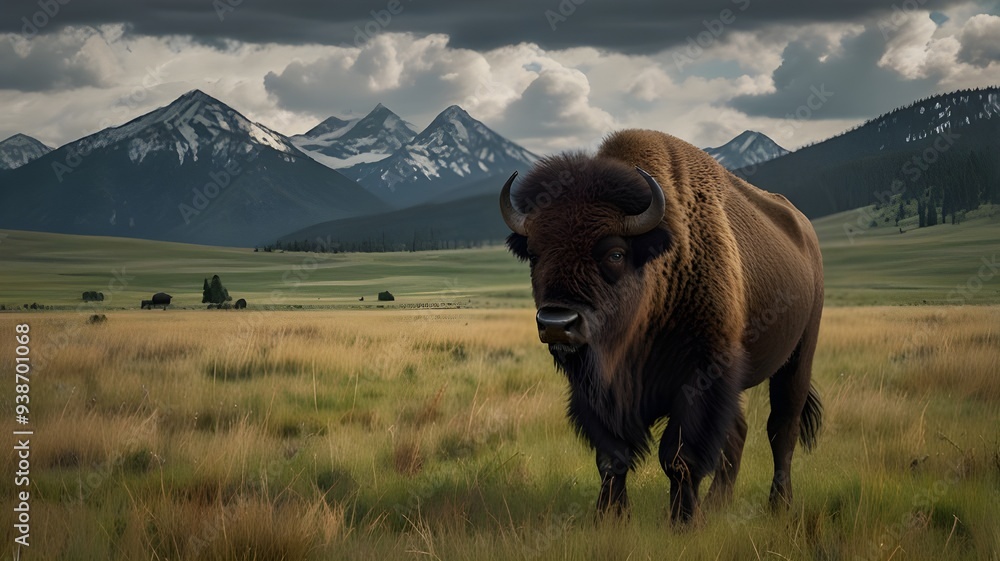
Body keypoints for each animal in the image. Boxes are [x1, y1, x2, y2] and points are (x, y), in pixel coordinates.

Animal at [500, 129, 823, 523]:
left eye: (615, 253)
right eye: (535, 254)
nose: (557, 323)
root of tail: (805, 234)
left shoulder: (700, 377)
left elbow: (679, 458)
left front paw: (682, 522)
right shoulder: (595, 391)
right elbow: (611, 457)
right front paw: (608, 517)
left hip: (798, 356)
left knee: (782, 428)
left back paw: (778, 505)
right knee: (738, 433)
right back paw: (717, 504)